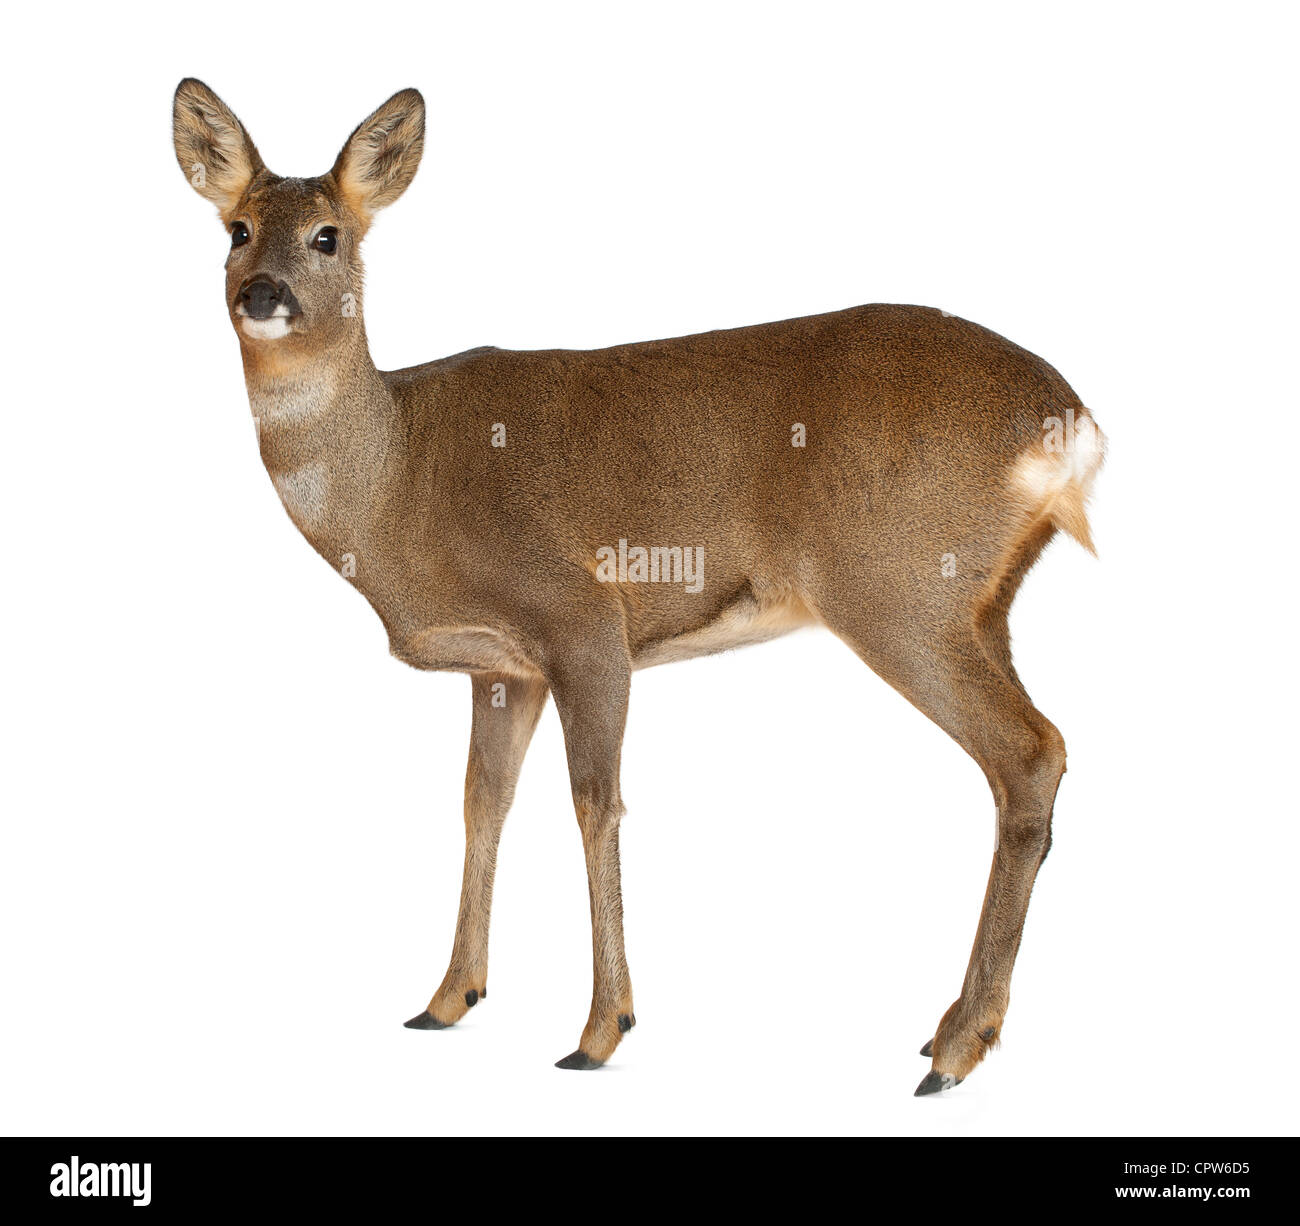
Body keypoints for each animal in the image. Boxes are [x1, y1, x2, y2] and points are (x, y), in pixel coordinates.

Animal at [173, 78, 1104, 1095]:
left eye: (329, 235)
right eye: (237, 228)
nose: (262, 294)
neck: (398, 483)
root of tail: (1071, 421)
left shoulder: (582, 619)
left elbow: (594, 801)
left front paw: (598, 1029)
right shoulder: (503, 667)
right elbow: (480, 800)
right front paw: (449, 997)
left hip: (898, 587)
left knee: (1031, 752)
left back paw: (957, 1044)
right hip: (983, 601)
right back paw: (950, 1034)